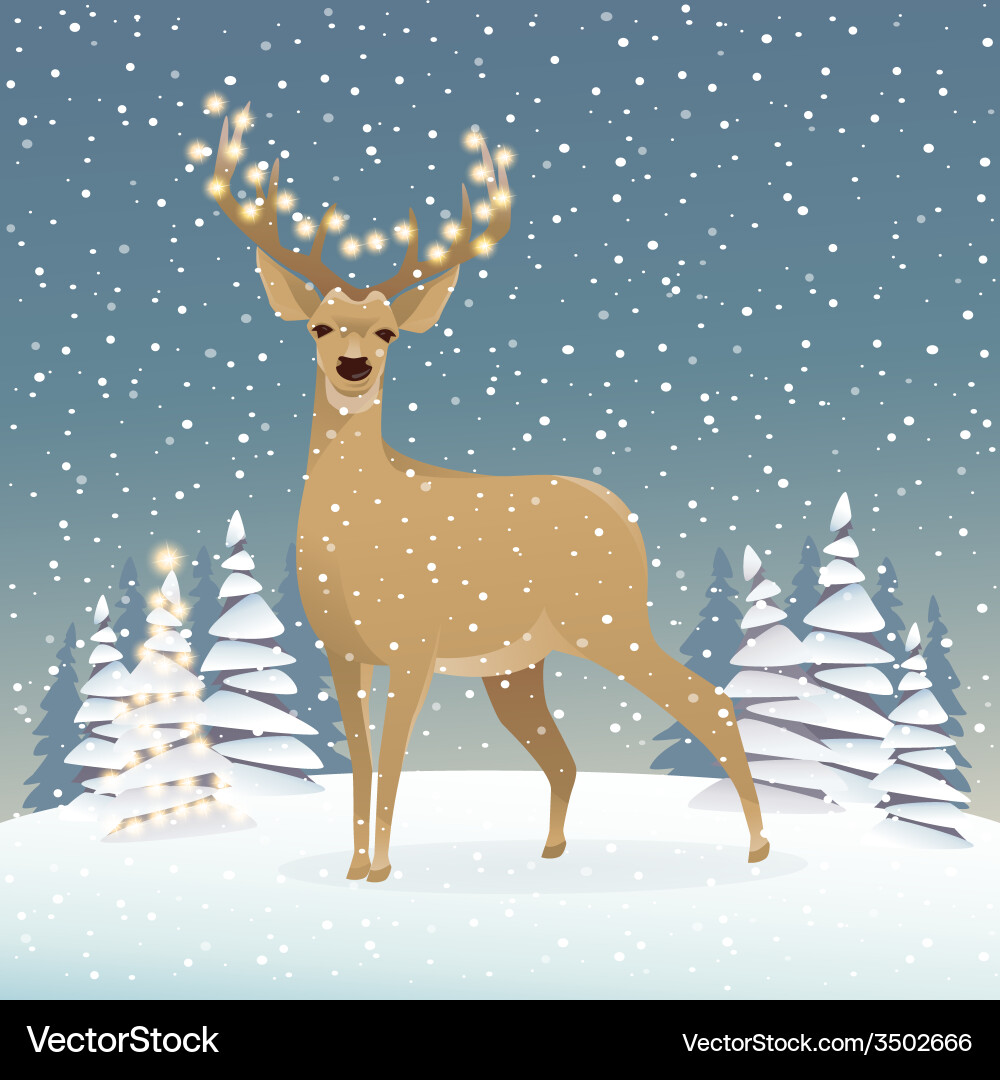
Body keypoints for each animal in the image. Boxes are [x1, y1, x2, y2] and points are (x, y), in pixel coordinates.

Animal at [210, 105, 769, 881]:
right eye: (319, 325)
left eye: (389, 331)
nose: (353, 366)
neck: (355, 534)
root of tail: (623, 517)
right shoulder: (341, 651)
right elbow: (358, 760)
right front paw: (353, 867)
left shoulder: (415, 642)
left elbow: (392, 758)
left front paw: (380, 869)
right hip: (517, 665)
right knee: (563, 755)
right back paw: (553, 847)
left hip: (610, 620)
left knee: (707, 699)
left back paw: (758, 845)